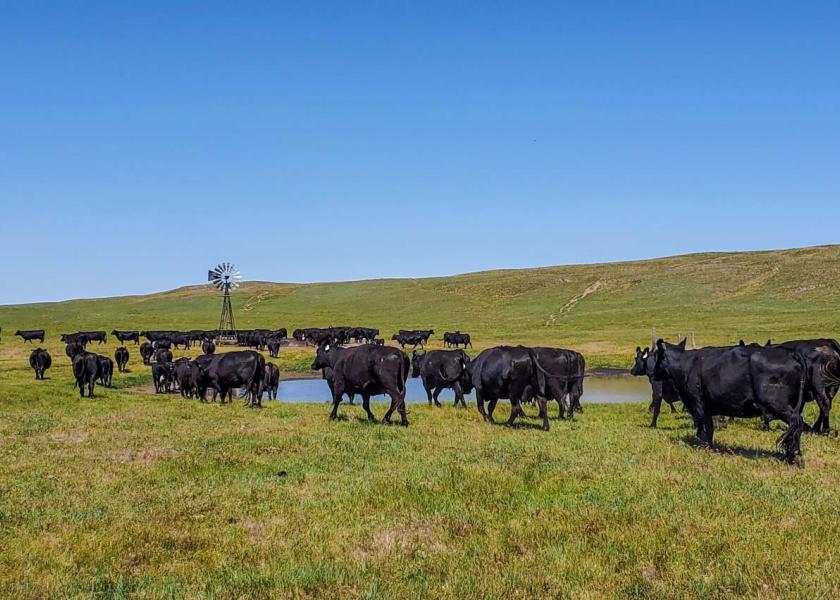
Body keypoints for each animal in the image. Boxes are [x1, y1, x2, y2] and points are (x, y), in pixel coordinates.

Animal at [653, 339, 808, 464]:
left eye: (656, 356)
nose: (653, 374)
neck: (685, 365)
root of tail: (791, 354)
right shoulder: (707, 409)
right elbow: (709, 429)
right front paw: (710, 447)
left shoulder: (698, 405)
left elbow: (702, 429)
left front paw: (704, 447)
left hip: (776, 404)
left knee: (796, 422)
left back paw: (793, 456)